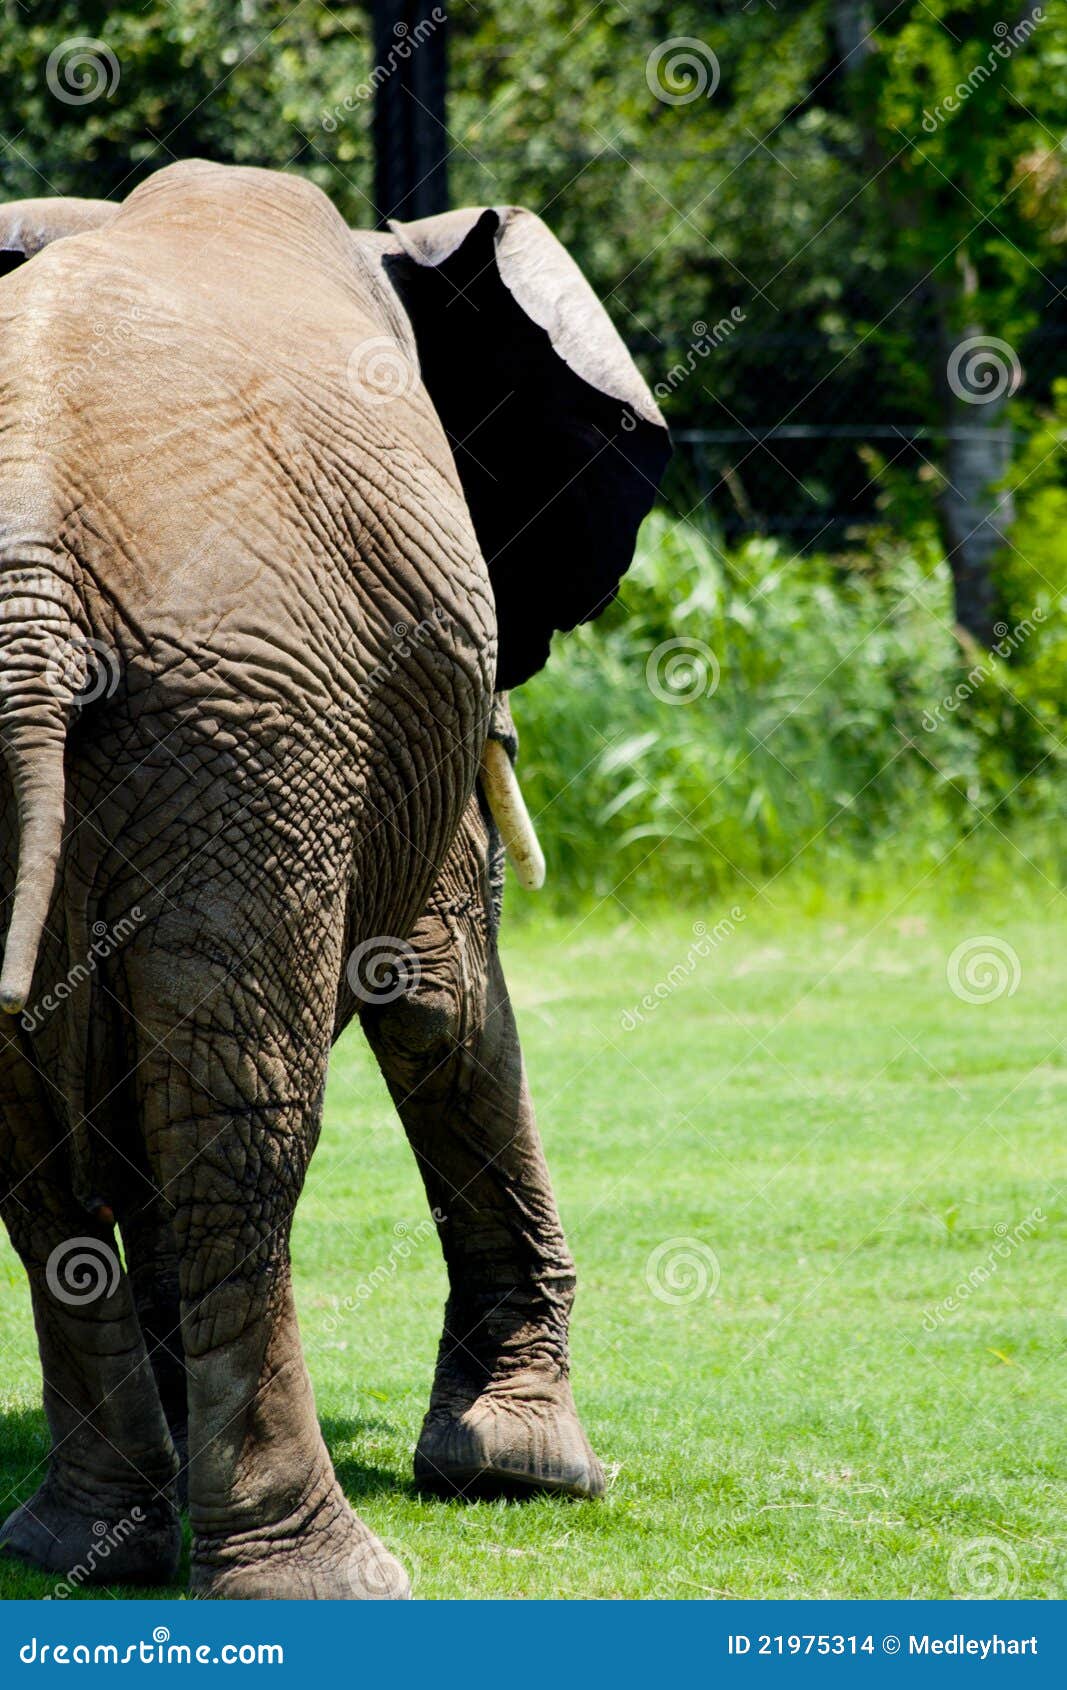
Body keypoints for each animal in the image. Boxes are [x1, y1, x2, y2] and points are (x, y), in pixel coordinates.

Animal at [0, 159, 669, 1599]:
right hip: (245, 711)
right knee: (240, 1124)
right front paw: (528, 1472)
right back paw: (316, 1568)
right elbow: (440, 986)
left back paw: (81, 1541)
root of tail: (30, 592)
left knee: (34, 1136)